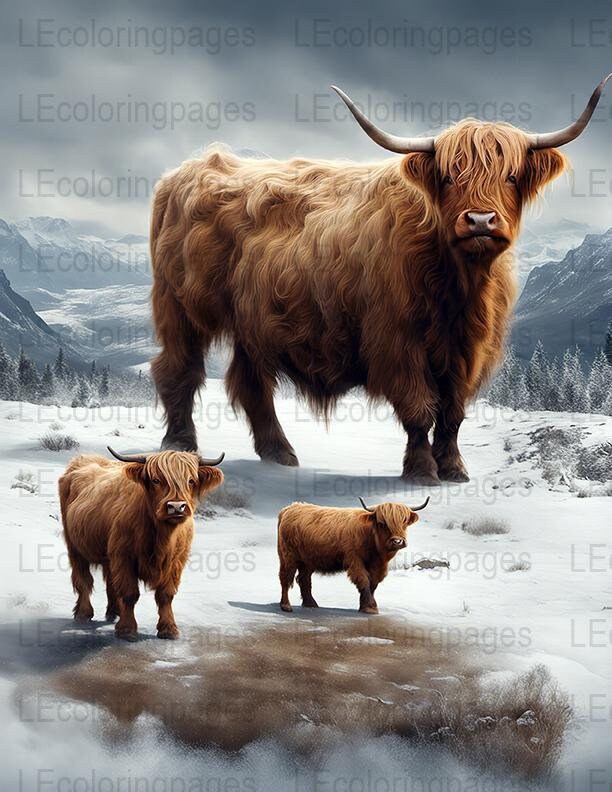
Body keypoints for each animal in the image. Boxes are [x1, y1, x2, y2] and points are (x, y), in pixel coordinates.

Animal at [59, 446, 224, 640]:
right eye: (156, 480)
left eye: (191, 480)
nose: (176, 507)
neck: (162, 537)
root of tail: (83, 459)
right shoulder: (124, 557)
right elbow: (130, 593)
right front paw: (127, 629)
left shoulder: (176, 562)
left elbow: (166, 595)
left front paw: (169, 629)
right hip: (75, 546)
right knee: (84, 580)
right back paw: (83, 614)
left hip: (108, 552)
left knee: (110, 580)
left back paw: (114, 611)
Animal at [149, 75, 610, 483]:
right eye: (448, 177)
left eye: (511, 175)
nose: (480, 220)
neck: (456, 284)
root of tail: (189, 169)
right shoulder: (396, 341)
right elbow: (420, 407)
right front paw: (421, 471)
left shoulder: (469, 347)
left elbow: (453, 412)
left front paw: (455, 469)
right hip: (180, 306)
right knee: (179, 369)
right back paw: (181, 445)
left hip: (253, 323)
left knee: (250, 383)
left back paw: (279, 453)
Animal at [277, 496, 429, 613]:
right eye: (382, 523)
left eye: (404, 522)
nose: (397, 541)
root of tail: (290, 508)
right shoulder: (355, 561)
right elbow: (363, 580)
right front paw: (370, 608)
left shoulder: (378, 566)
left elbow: (373, 583)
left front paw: (364, 606)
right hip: (288, 556)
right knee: (285, 577)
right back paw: (286, 606)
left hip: (308, 560)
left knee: (304, 579)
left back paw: (311, 604)